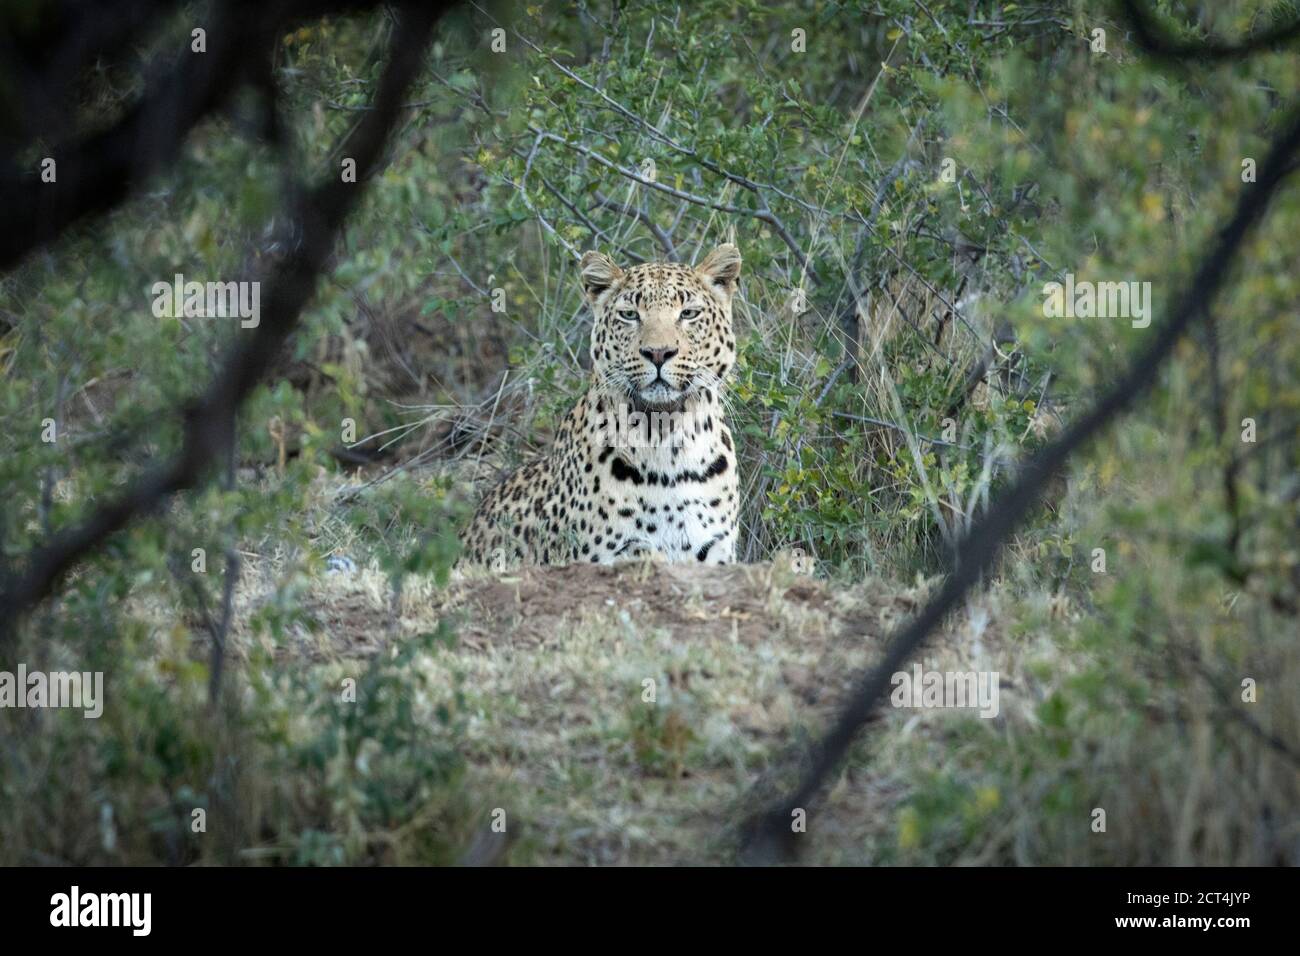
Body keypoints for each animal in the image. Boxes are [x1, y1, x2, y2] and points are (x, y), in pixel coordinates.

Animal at [460, 243, 743, 569]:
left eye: (689, 313)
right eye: (630, 315)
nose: (658, 353)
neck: (668, 440)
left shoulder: (714, 552)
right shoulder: (610, 555)